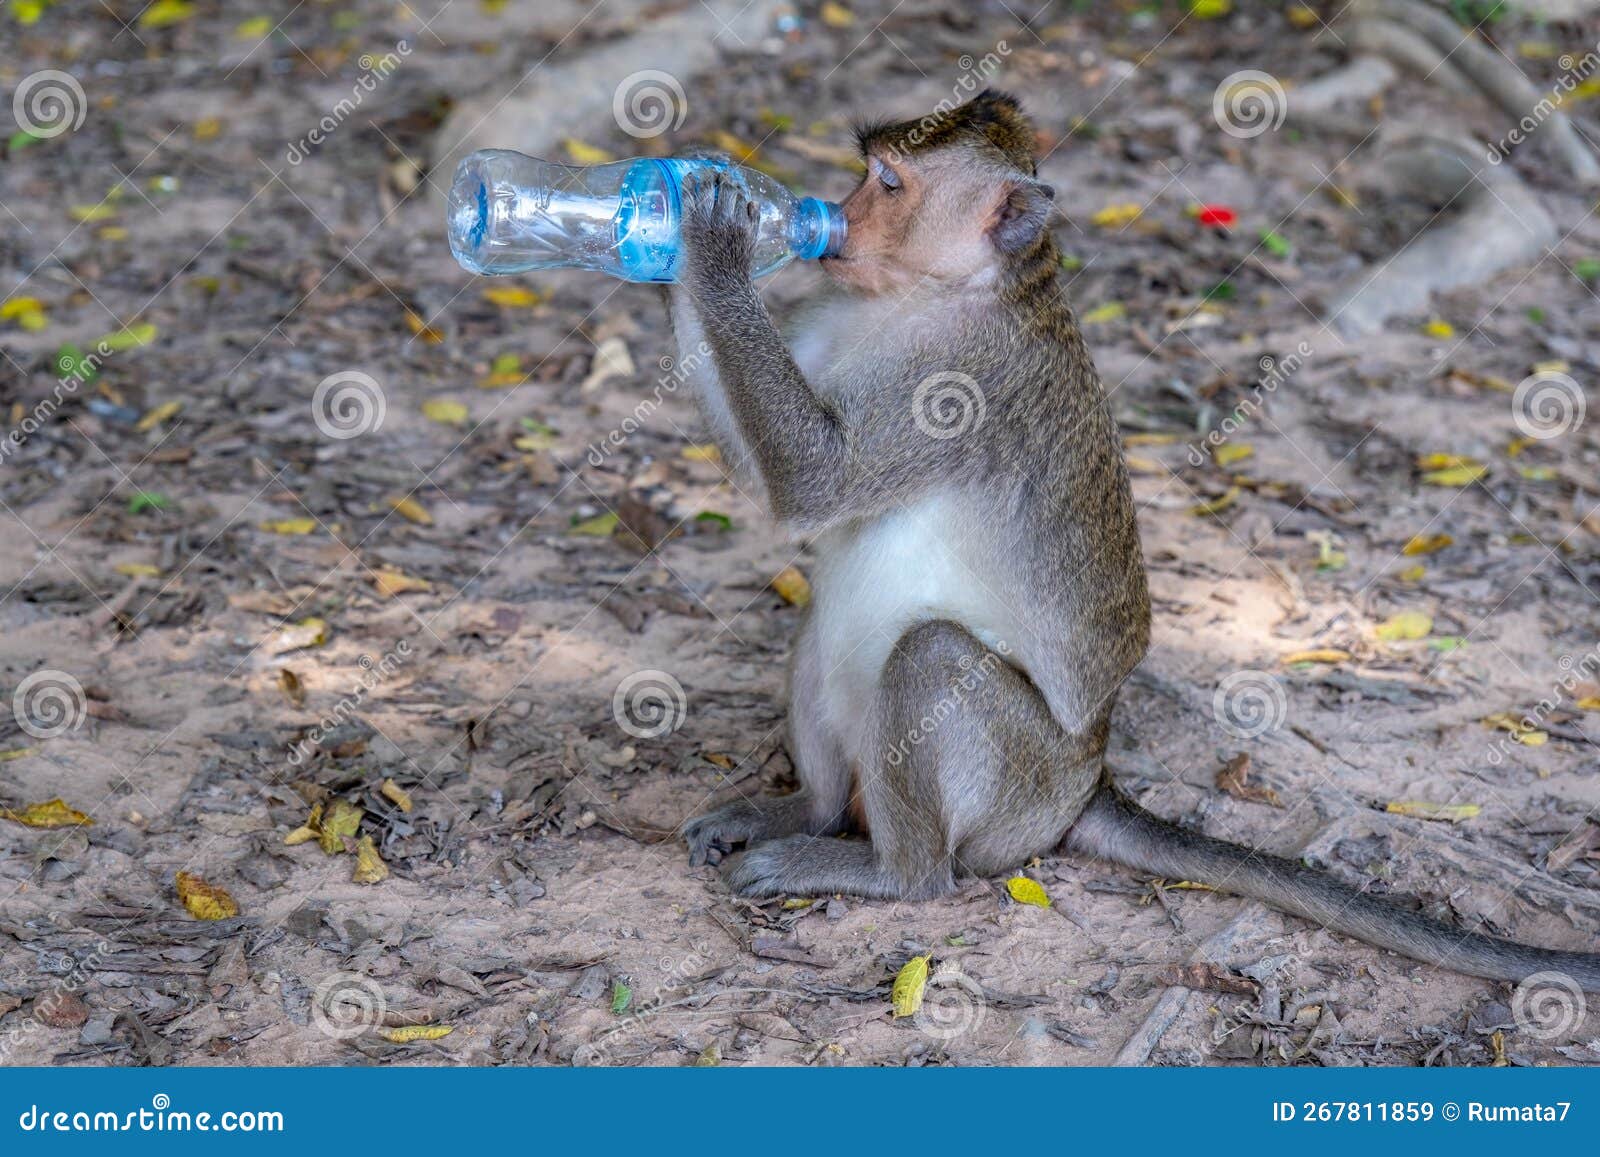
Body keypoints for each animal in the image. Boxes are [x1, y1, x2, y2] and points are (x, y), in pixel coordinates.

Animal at [662, 89, 1600, 992]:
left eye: (888, 184)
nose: (840, 218)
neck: (942, 291)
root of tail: (1089, 779)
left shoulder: (956, 380)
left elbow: (812, 485)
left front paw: (708, 235)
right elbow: (767, 475)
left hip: (1022, 789)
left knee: (930, 662)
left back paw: (890, 870)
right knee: (824, 624)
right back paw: (806, 811)